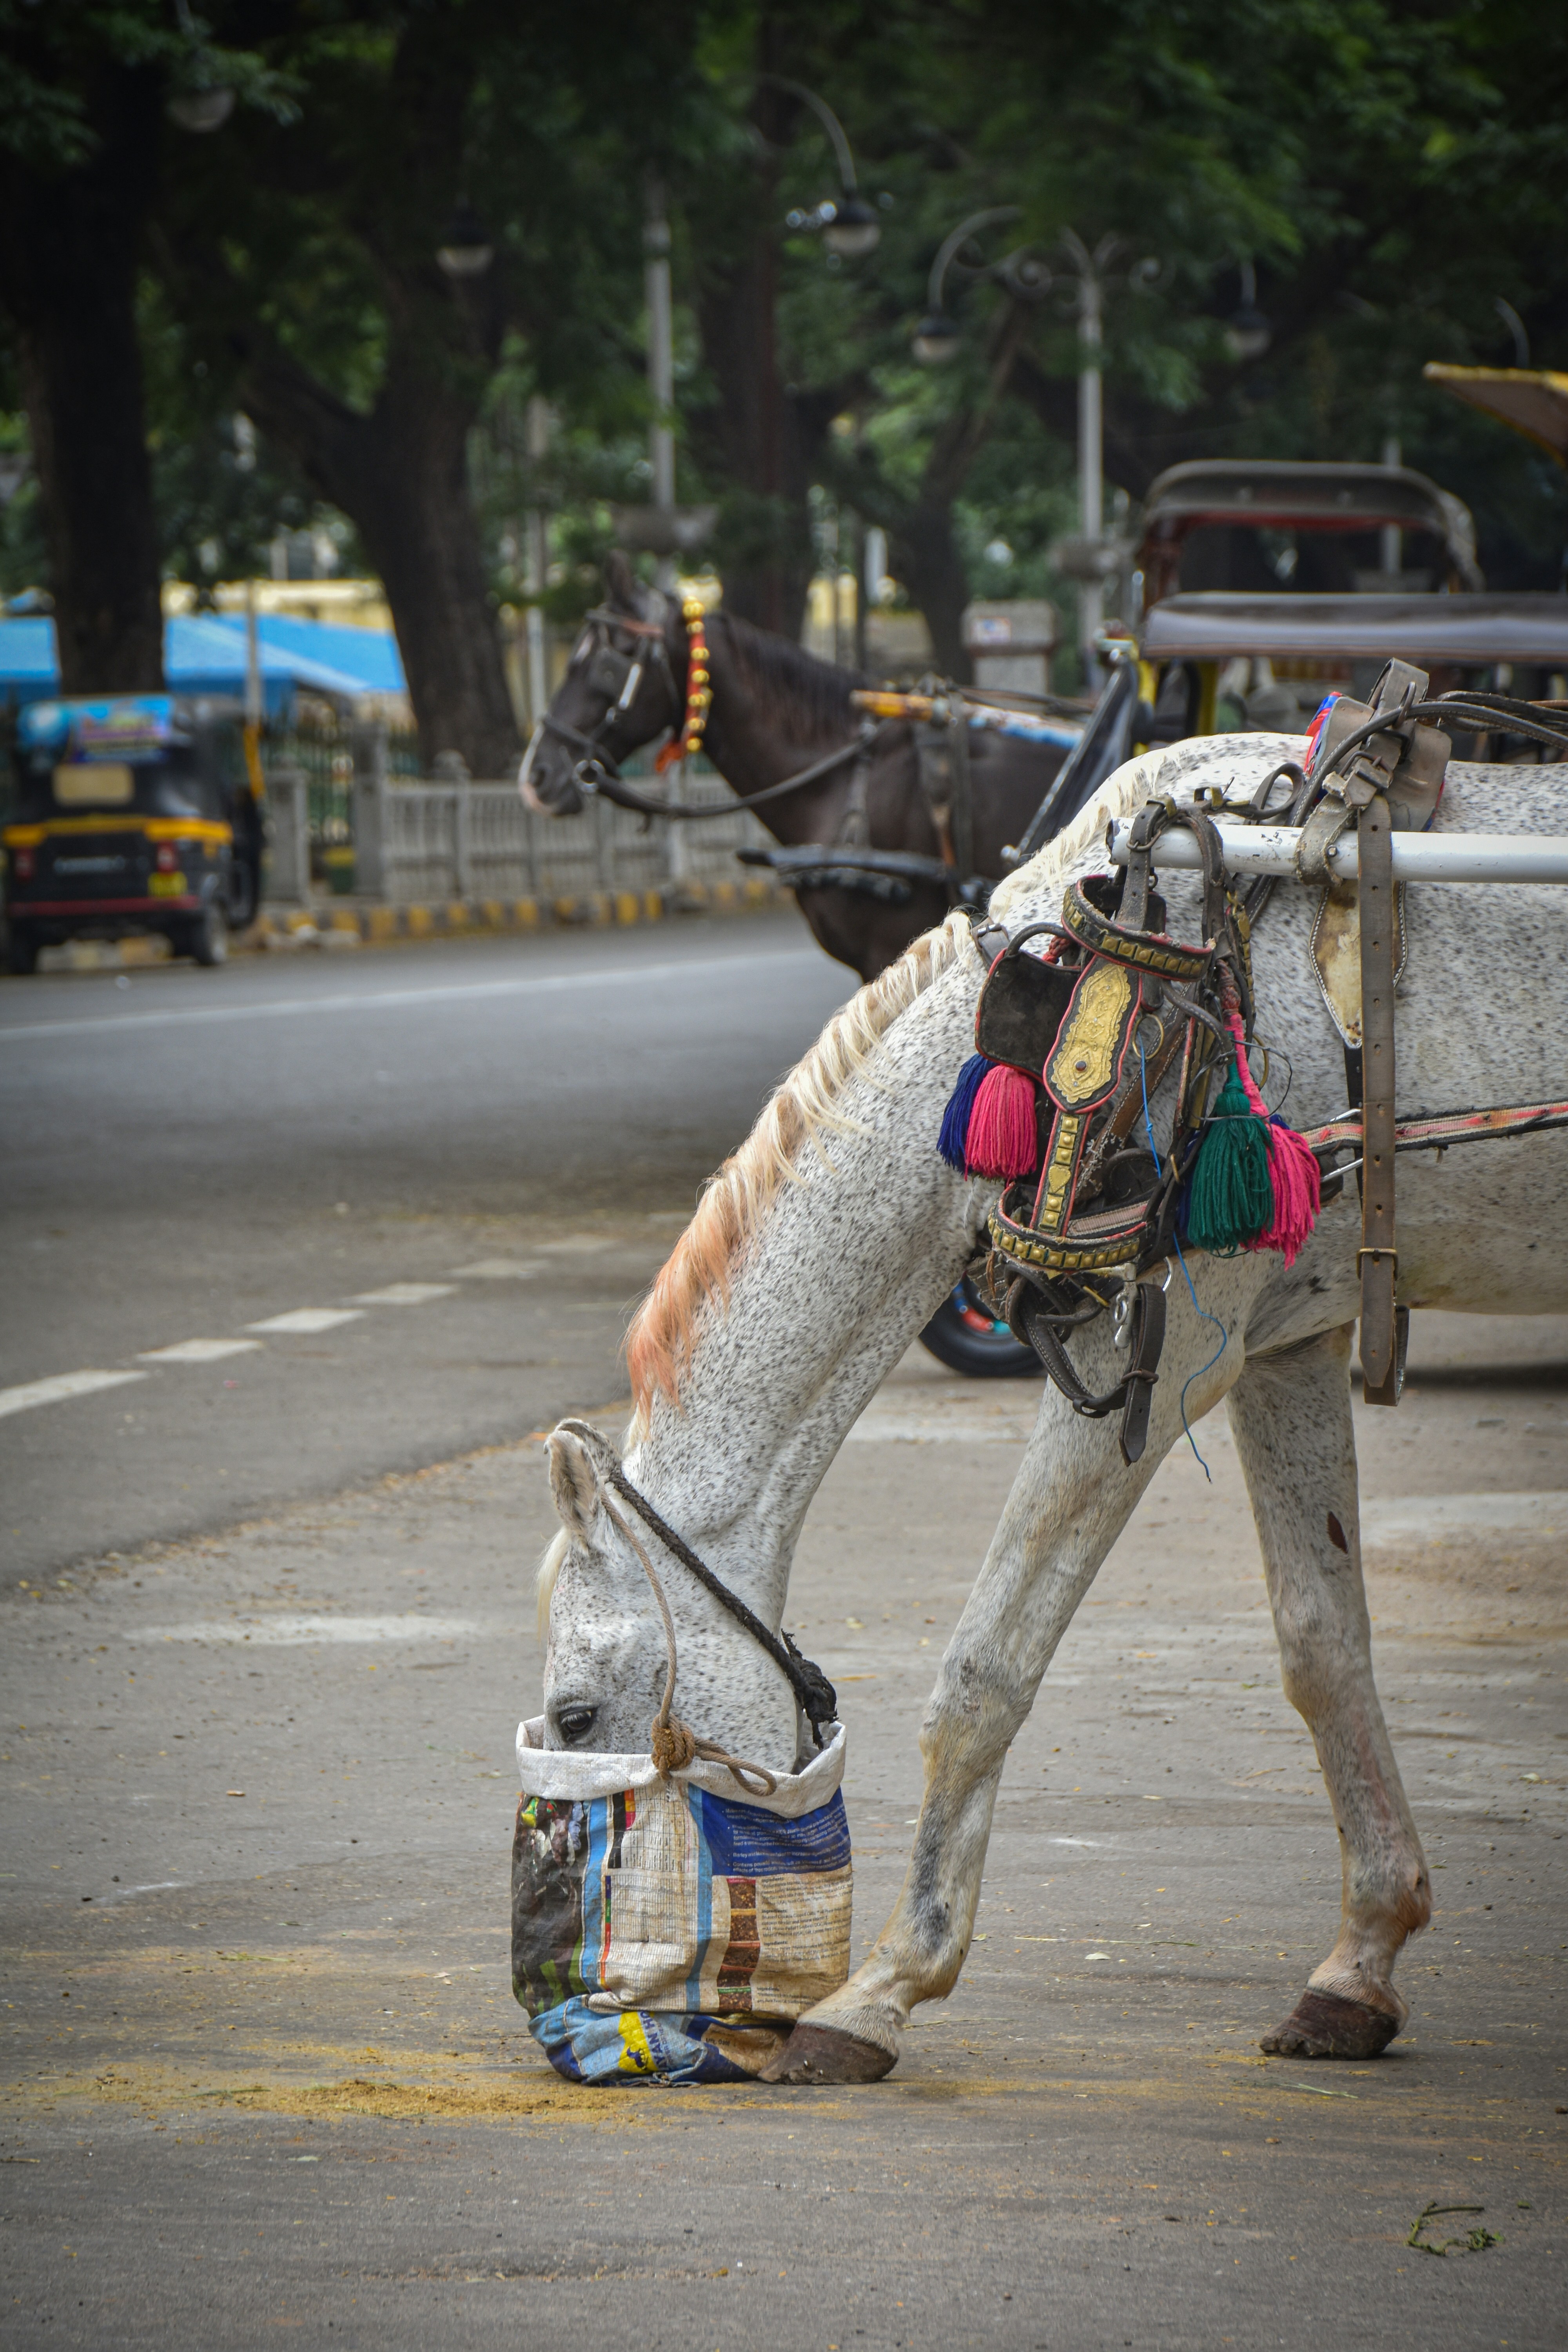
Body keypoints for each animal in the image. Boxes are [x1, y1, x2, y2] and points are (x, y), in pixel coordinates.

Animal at [536, 731, 1567, 2084]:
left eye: (575, 1711)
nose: (599, 1979)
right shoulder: (1285, 1336)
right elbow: (1321, 1644)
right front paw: (1362, 1959)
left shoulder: (1158, 1348)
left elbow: (985, 1668)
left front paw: (881, 1988)